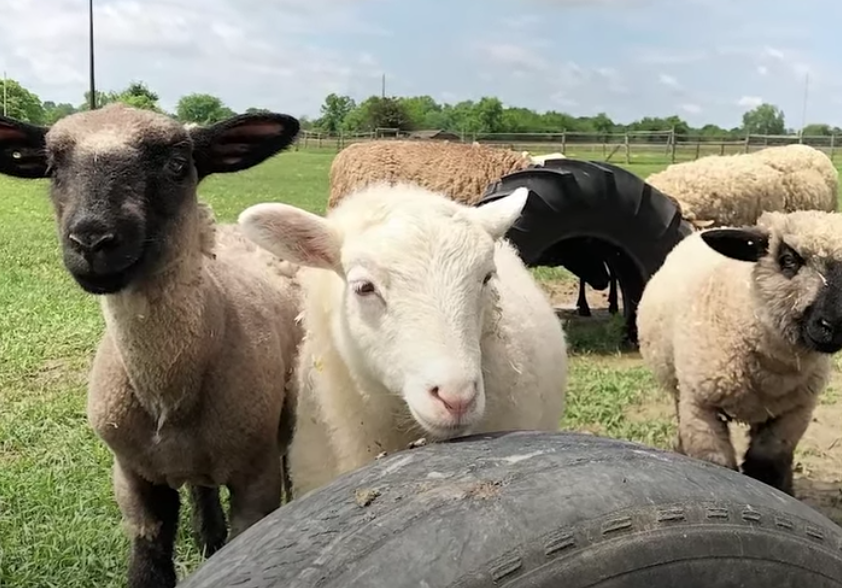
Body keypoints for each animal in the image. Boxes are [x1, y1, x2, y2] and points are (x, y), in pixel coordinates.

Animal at [0, 103, 303, 588]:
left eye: (178, 165)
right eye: (52, 168)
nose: (91, 240)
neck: (168, 397)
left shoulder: (255, 479)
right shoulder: (132, 478)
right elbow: (149, 566)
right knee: (201, 485)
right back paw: (207, 534)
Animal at [636, 209, 842, 495]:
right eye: (787, 260)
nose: (835, 326)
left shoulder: (794, 412)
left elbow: (768, 466)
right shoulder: (701, 407)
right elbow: (717, 465)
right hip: (680, 387)